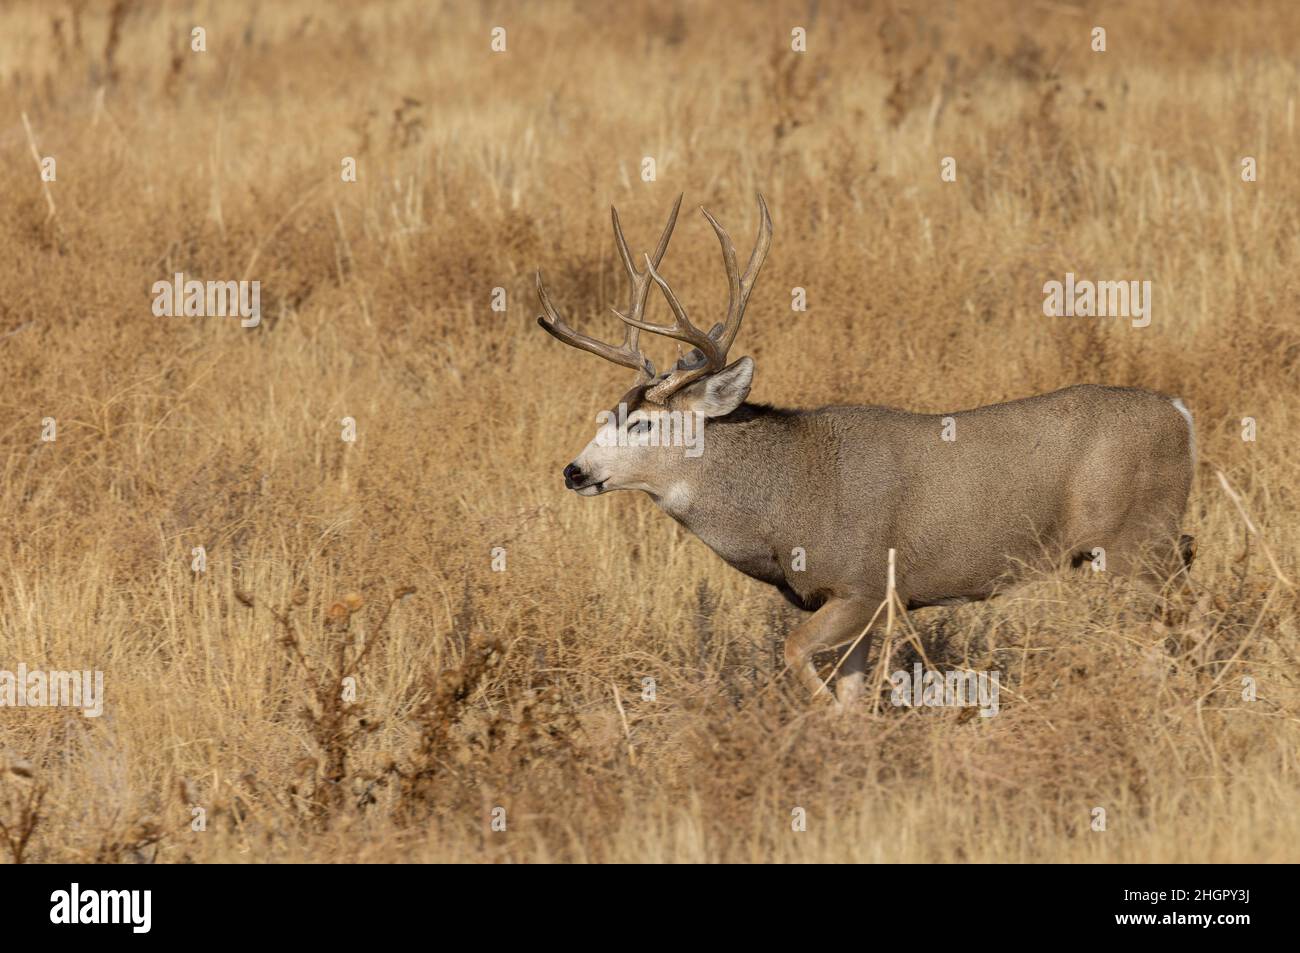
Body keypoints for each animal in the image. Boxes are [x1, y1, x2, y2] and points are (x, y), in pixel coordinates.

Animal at [536, 194, 1197, 707]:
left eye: (644, 425)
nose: (574, 471)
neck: (785, 496)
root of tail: (1182, 414)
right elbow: (851, 695)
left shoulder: (867, 584)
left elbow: (794, 651)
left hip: (1137, 545)